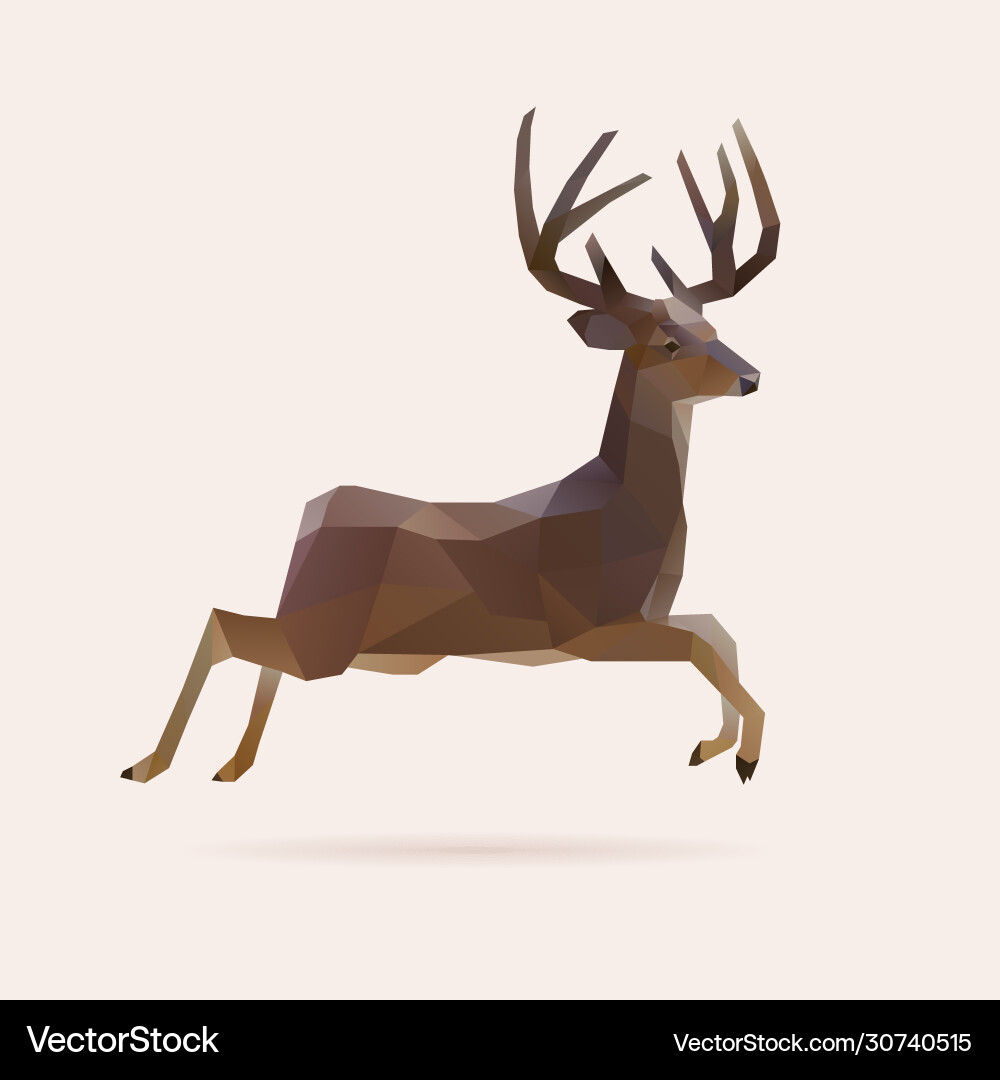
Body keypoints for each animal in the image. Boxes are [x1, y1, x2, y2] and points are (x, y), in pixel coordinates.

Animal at [122, 108, 779, 787]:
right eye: (670, 345)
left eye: (712, 328)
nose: (752, 377)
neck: (627, 514)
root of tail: (311, 519)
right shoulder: (589, 628)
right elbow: (704, 647)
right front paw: (746, 754)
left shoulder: (644, 617)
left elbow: (721, 634)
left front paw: (714, 745)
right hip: (326, 637)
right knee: (223, 627)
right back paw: (148, 763)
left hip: (320, 630)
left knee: (253, 645)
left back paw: (234, 763)